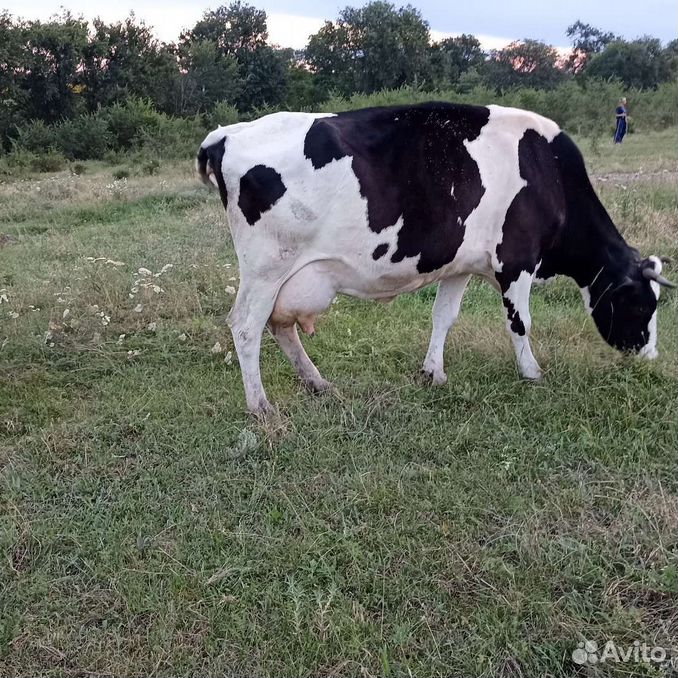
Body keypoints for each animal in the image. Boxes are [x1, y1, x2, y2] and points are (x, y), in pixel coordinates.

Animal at [197, 103, 674, 414]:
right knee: (246, 326)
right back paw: (260, 406)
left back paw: (317, 382)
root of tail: (228, 133)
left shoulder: (461, 266)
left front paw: (433, 373)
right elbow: (520, 322)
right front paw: (532, 371)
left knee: (280, 326)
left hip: (287, 276)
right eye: (639, 305)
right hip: (266, 267)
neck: (548, 172)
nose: (650, 357)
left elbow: (444, 317)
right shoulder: (516, 260)